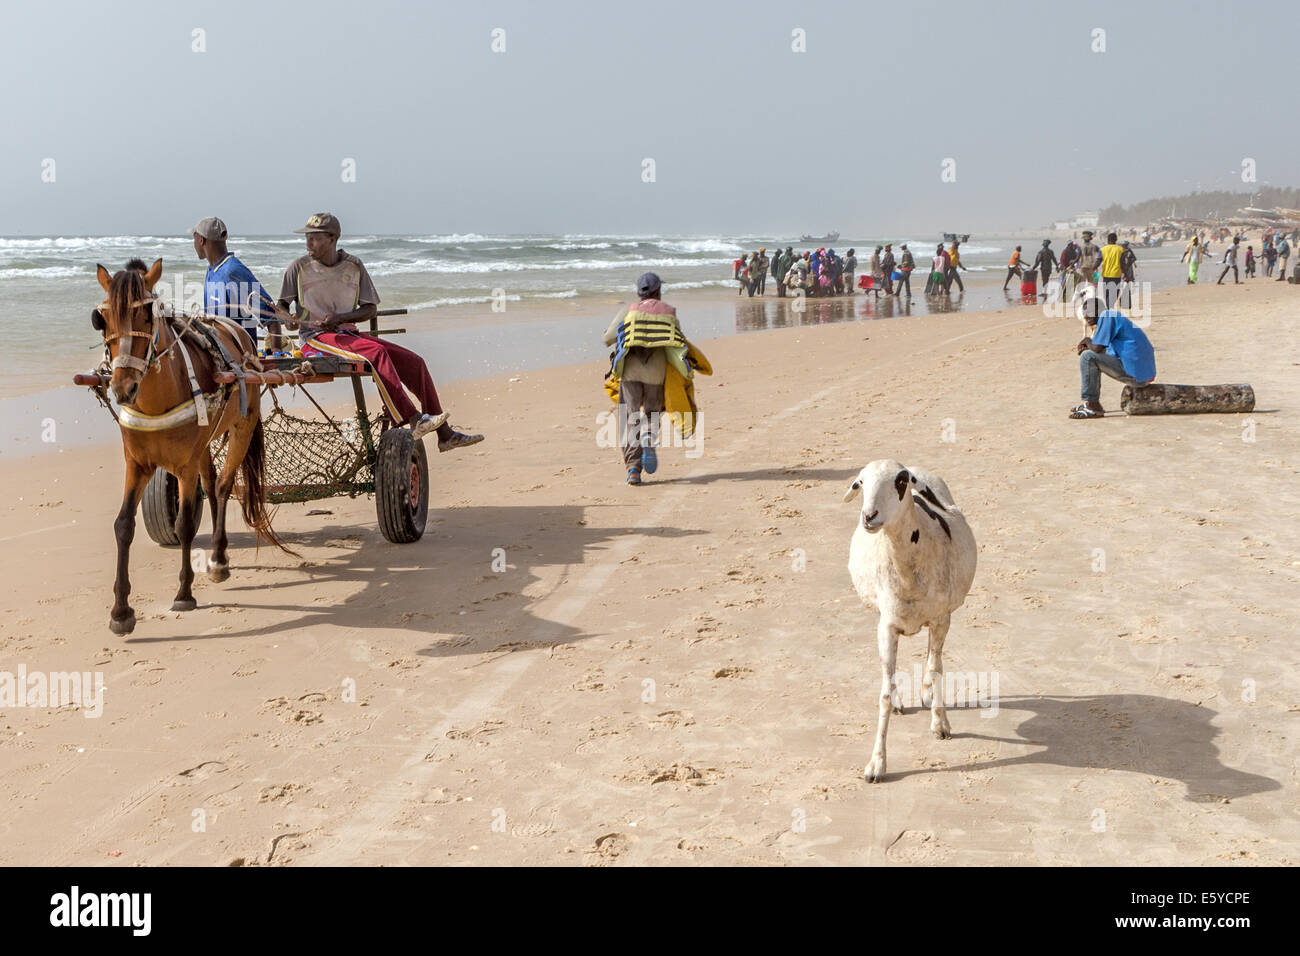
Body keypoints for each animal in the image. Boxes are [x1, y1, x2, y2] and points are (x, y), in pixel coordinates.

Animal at [844, 459, 977, 782]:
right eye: (861, 483)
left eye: (901, 481)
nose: (869, 516)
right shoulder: (886, 626)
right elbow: (883, 694)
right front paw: (876, 765)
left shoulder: (942, 618)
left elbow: (937, 667)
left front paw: (941, 724)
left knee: (932, 656)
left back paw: (928, 696)